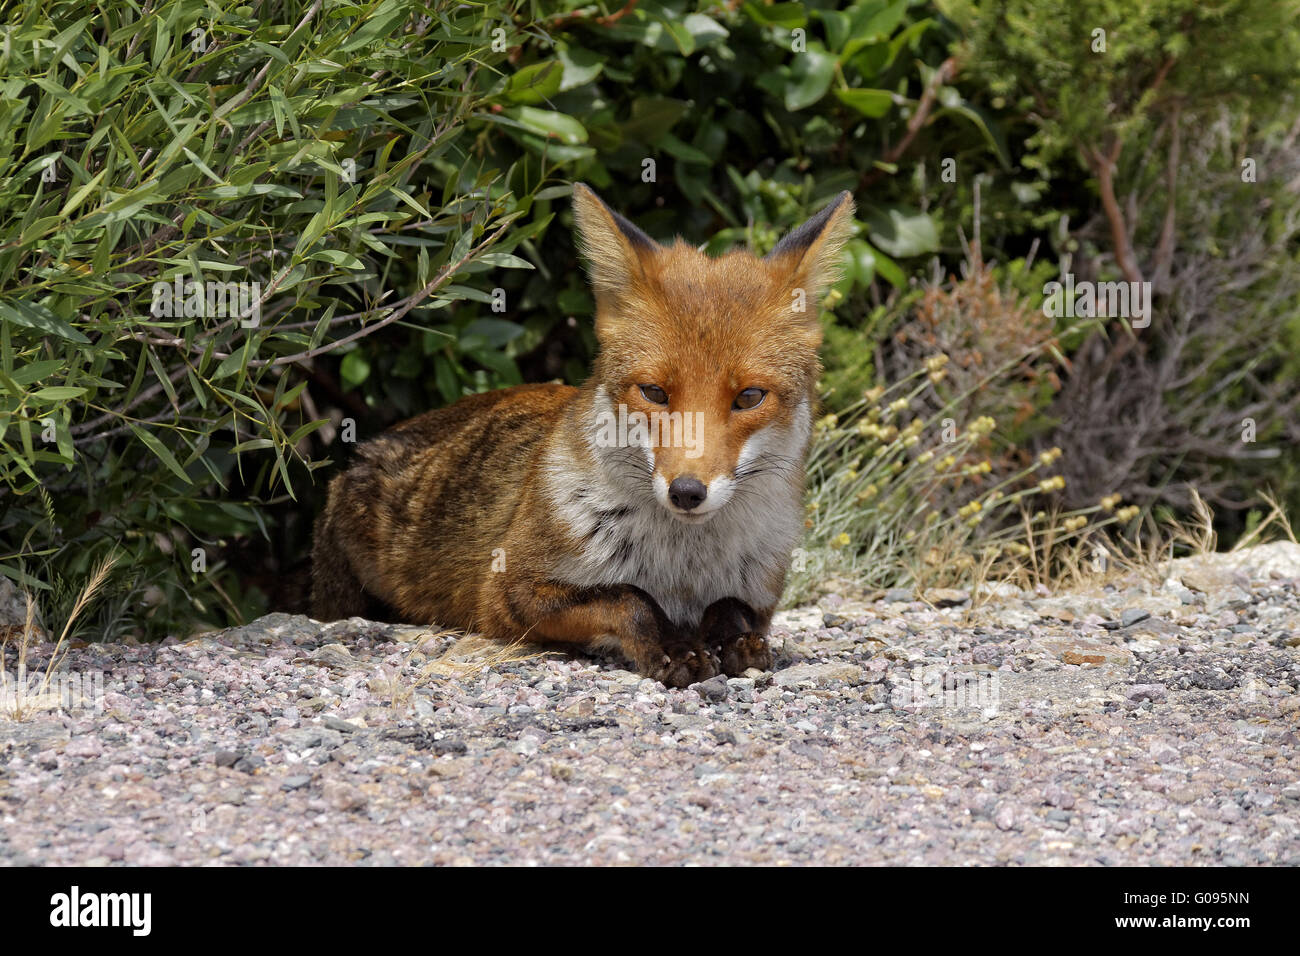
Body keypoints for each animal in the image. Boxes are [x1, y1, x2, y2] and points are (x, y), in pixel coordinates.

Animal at [310, 183, 855, 687]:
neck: (681, 571)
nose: (686, 492)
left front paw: (736, 641)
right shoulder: (506, 595)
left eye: (749, 397)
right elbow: (629, 598)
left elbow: (731, 609)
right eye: (654, 392)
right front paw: (673, 648)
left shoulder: (759, 596)